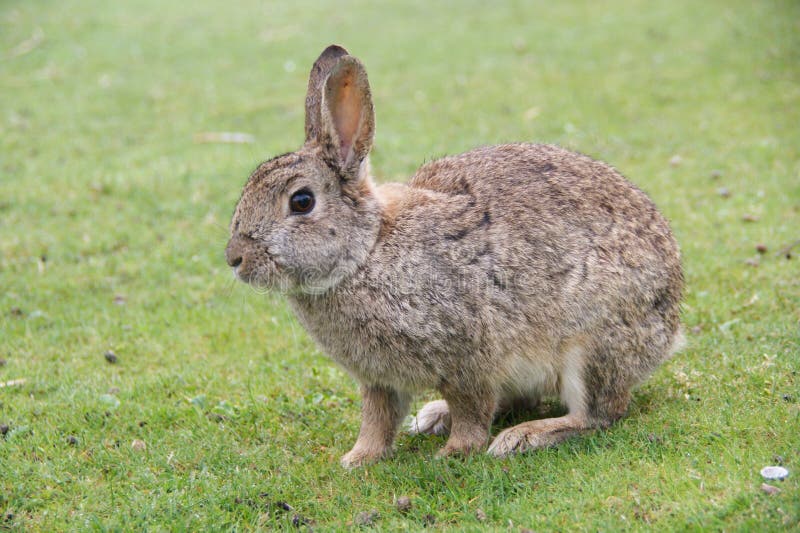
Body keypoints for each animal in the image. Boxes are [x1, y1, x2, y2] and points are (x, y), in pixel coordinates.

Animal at [225, 44, 684, 468]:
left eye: (301, 202)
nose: (234, 258)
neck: (367, 251)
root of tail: (669, 325)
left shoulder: (470, 356)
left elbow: (471, 409)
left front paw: (454, 452)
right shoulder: (377, 378)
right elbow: (377, 419)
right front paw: (358, 459)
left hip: (590, 344)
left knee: (596, 414)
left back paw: (522, 437)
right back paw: (433, 416)